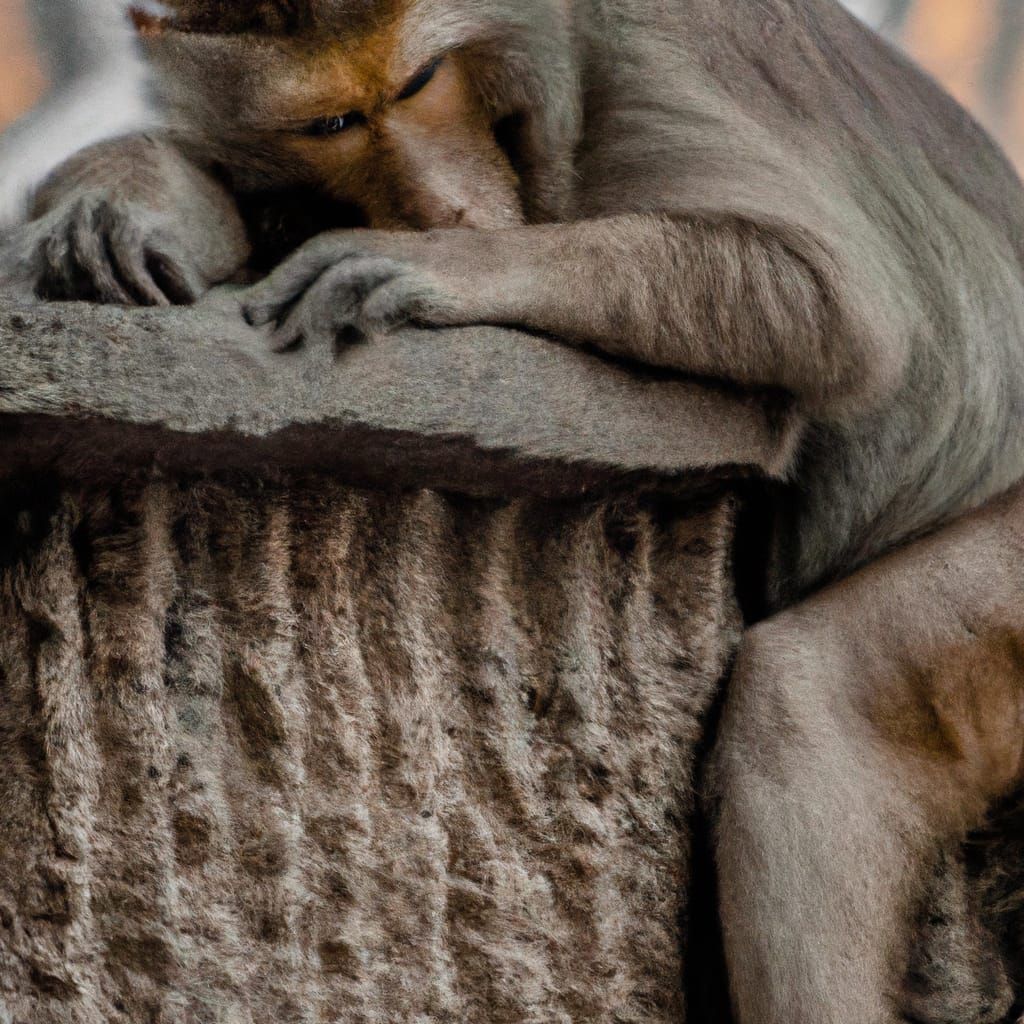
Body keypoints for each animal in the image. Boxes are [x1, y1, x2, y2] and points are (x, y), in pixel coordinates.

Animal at [3, 1, 1024, 1021]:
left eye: (420, 83)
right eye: (333, 122)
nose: (437, 205)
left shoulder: (649, 50)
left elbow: (830, 304)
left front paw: (457, 267)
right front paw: (120, 220)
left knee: (815, 705)